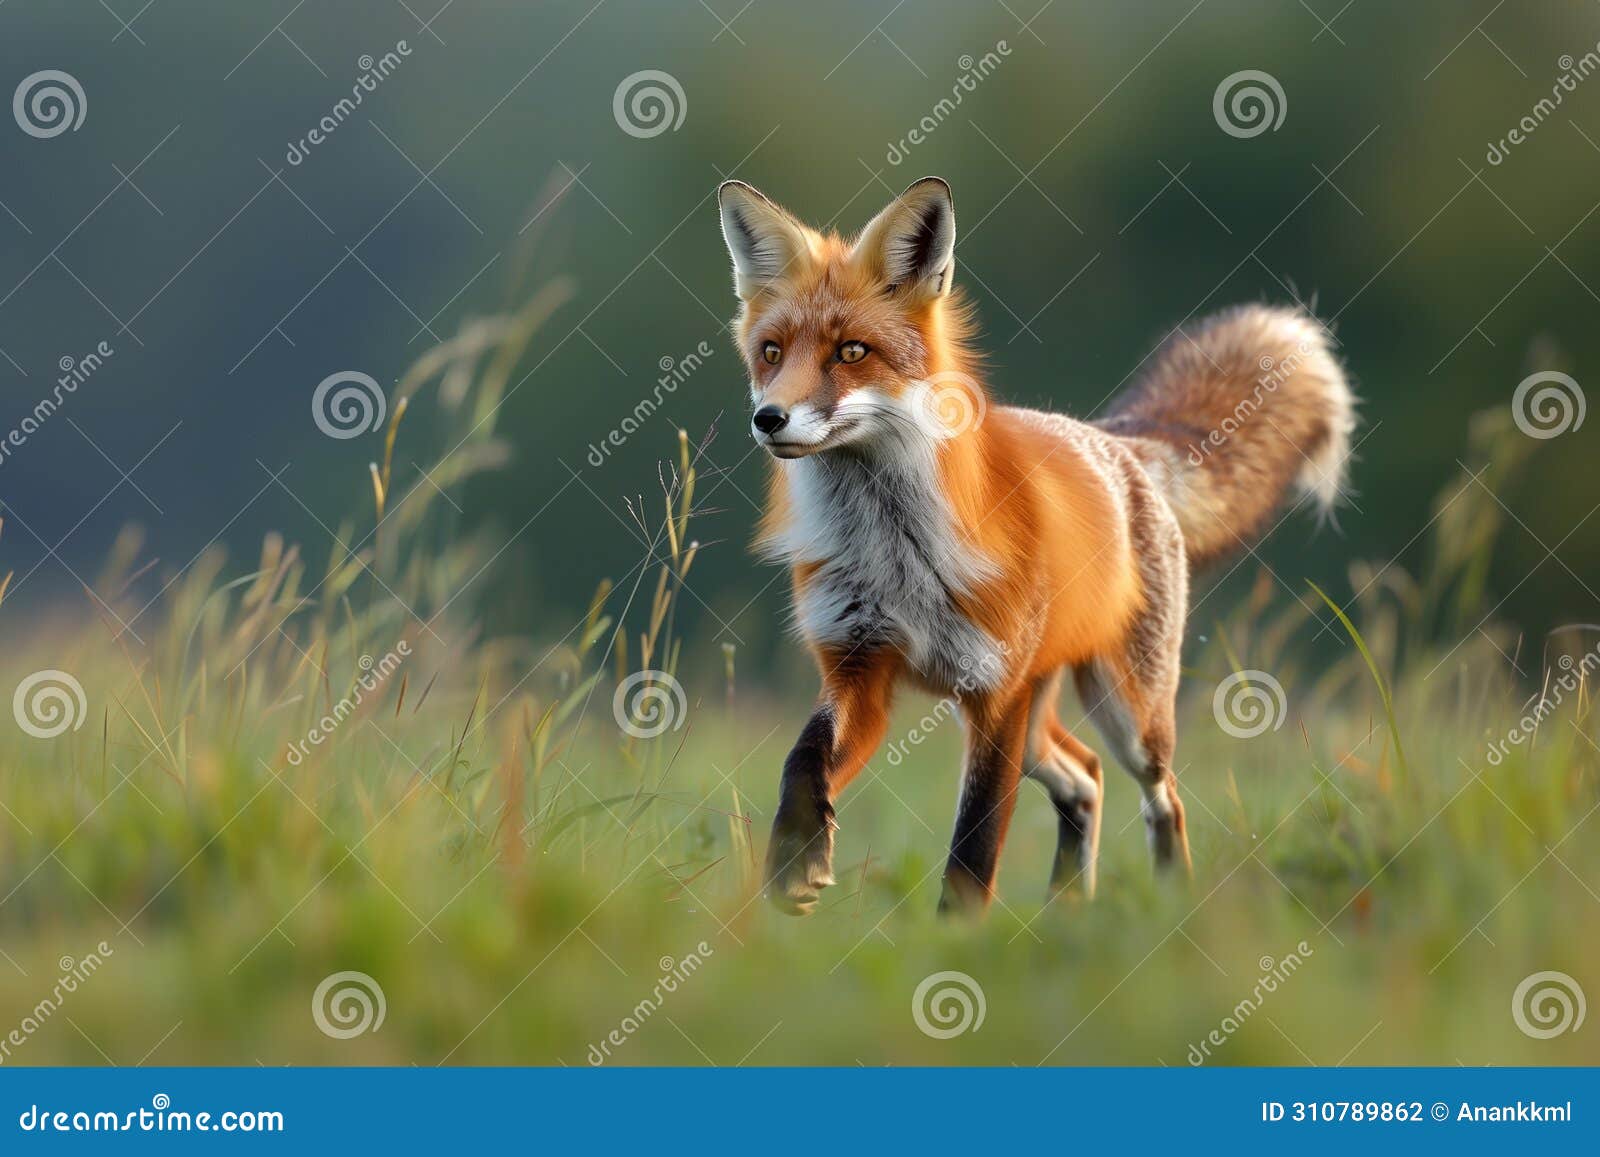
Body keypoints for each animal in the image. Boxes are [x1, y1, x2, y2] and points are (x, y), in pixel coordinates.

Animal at [715, 176, 1355, 916]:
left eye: (851, 352)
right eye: (771, 352)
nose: (769, 418)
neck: (895, 555)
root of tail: (1115, 438)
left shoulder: (997, 695)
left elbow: (974, 847)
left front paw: (954, 938)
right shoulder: (858, 669)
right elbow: (804, 760)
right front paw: (793, 862)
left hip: (1126, 712)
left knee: (1160, 796)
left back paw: (1169, 902)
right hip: (1039, 719)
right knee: (1087, 775)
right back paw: (1067, 906)